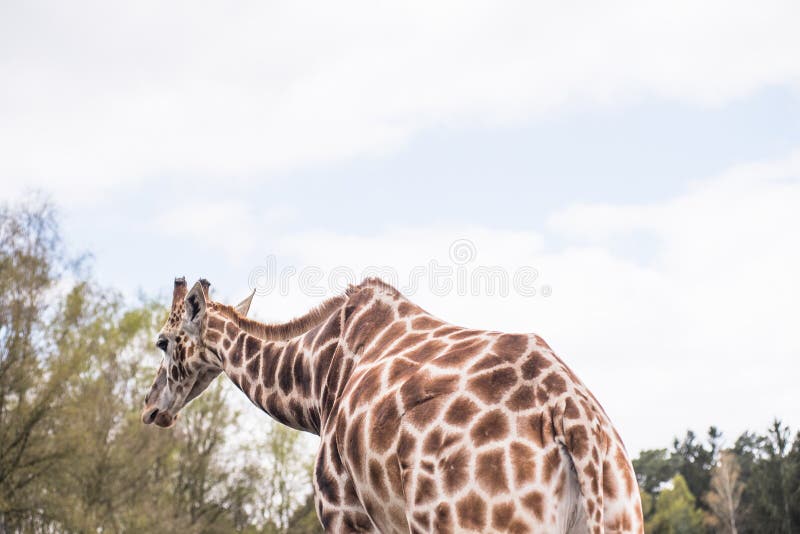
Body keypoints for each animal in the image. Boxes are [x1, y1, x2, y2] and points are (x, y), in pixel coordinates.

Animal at [142, 277, 644, 534]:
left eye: (162, 341)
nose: (150, 409)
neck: (316, 379)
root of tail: (573, 419)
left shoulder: (342, 512)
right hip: (619, 514)